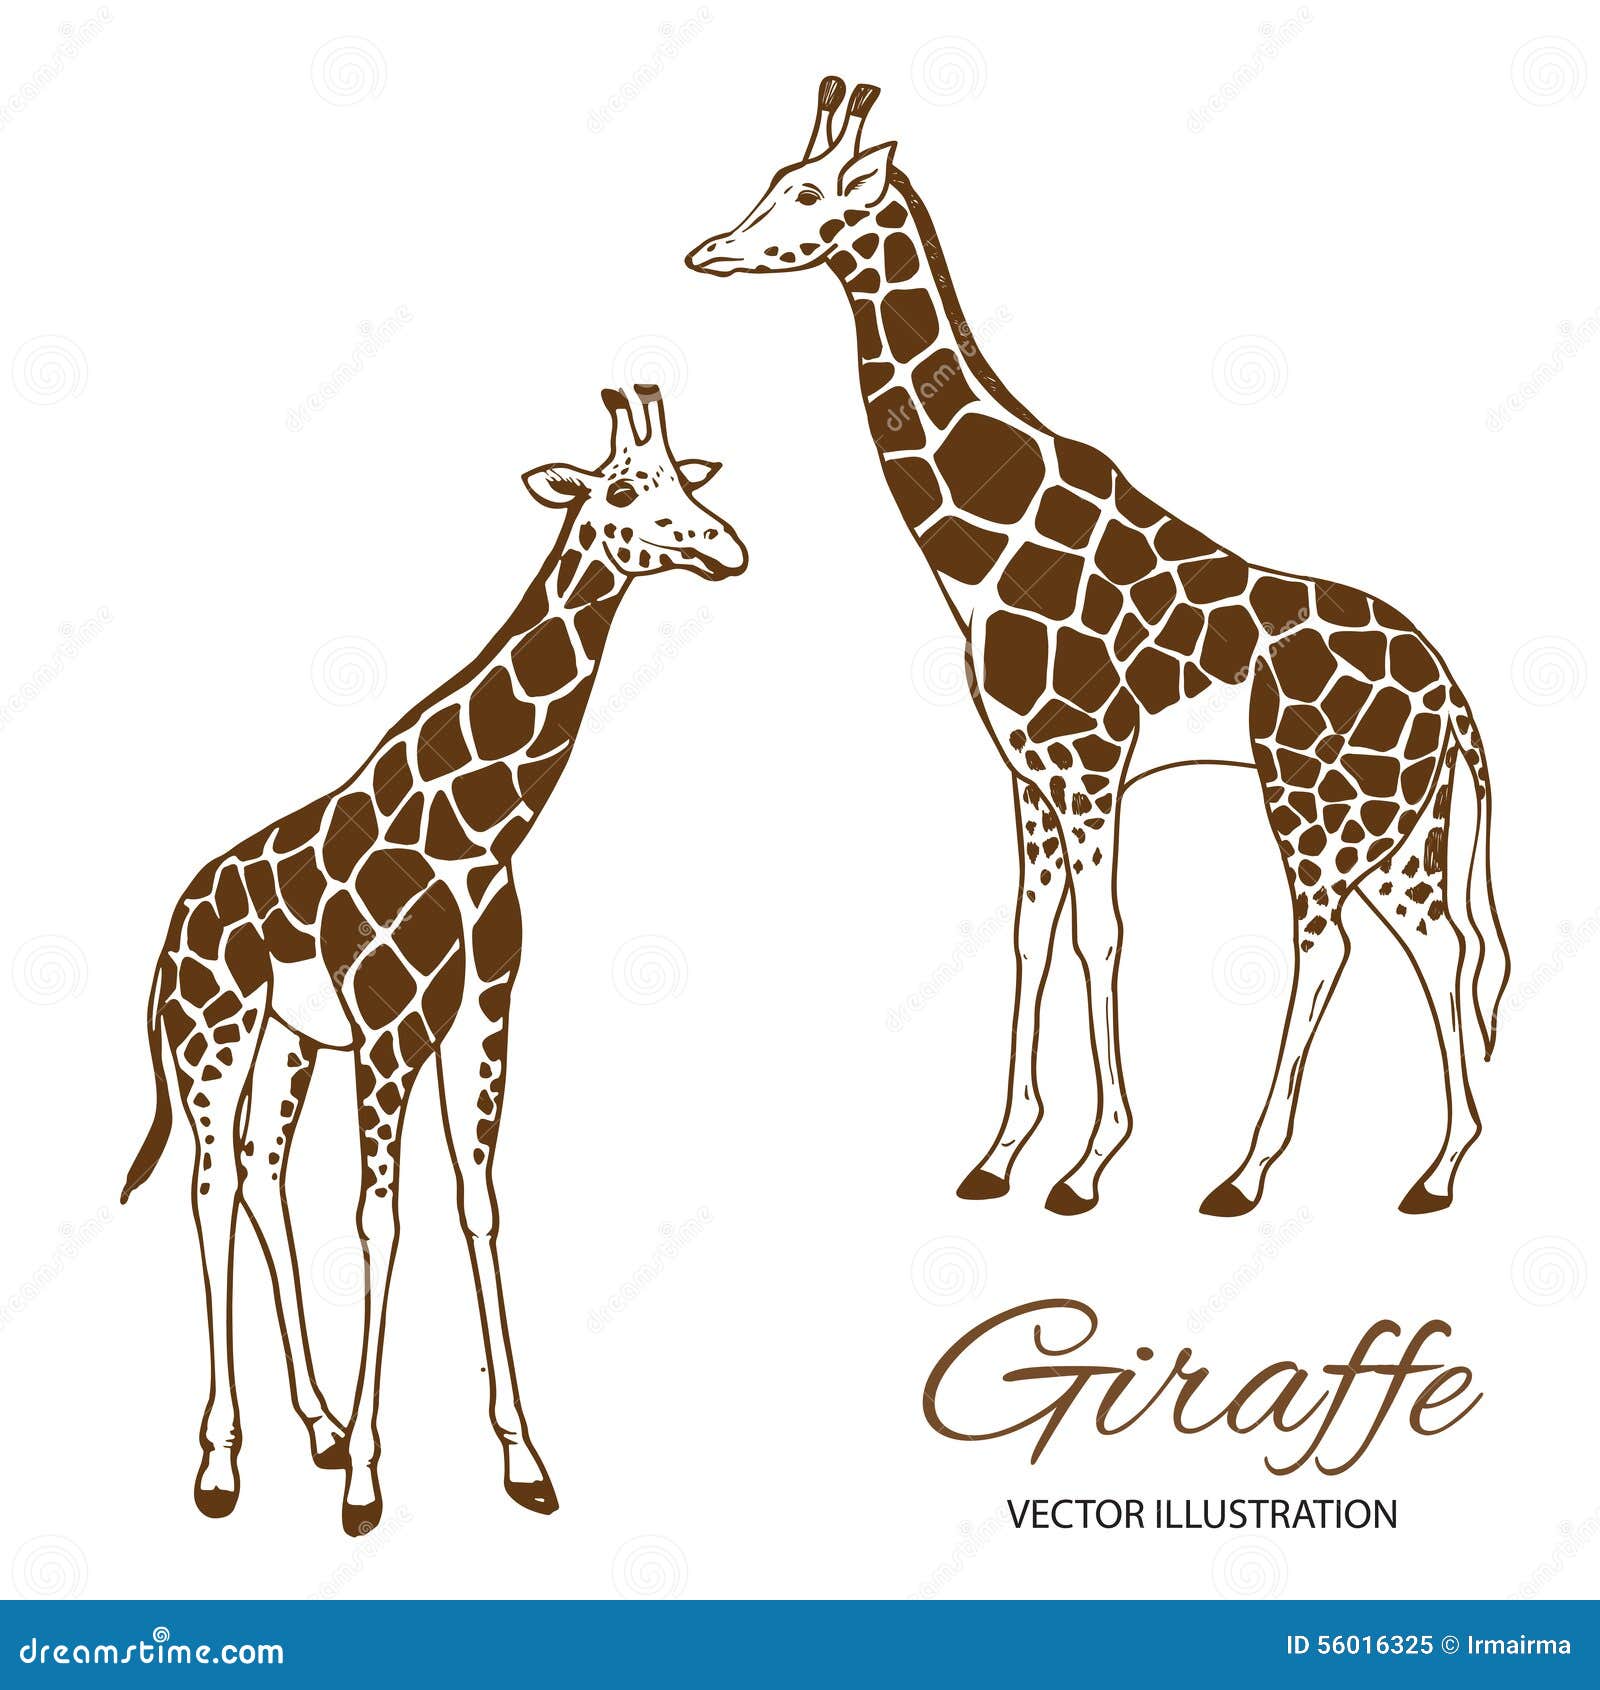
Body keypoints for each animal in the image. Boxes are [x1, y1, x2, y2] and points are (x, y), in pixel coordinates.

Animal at [120, 385, 747, 1534]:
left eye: (688, 482)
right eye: (622, 491)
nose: (726, 548)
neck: (476, 831)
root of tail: (171, 931)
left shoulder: (481, 1015)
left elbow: (476, 1203)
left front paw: (522, 1459)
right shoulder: (390, 1027)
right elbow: (379, 1217)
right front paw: (368, 1484)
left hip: (287, 1040)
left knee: (261, 1175)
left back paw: (316, 1426)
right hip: (212, 1031)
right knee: (209, 1182)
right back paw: (224, 1464)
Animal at [686, 78, 1510, 1219]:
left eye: (809, 193)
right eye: (772, 180)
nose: (709, 251)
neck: (982, 555)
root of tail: (1451, 693)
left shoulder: (1086, 762)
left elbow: (1100, 933)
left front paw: (1087, 1165)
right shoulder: (1028, 771)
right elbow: (1030, 934)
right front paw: (998, 1156)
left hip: (1314, 804)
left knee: (1327, 946)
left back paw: (1244, 1174)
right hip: (1396, 823)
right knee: (1439, 946)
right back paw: (1436, 1171)